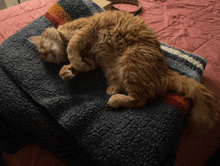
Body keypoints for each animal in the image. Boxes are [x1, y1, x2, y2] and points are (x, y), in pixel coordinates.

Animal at [28, 9, 217, 131]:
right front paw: (67, 72)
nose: (45, 55)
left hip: (131, 61)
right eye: (44, 56)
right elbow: (78, 65)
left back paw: (115, 99)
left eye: (42, 48)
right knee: (132, 92)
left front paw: (70, 62)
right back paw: (113, 90)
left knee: (141, 100)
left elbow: (72, 48)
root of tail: (164, 72)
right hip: (114, 68)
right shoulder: (92, 62)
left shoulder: (86, 30)